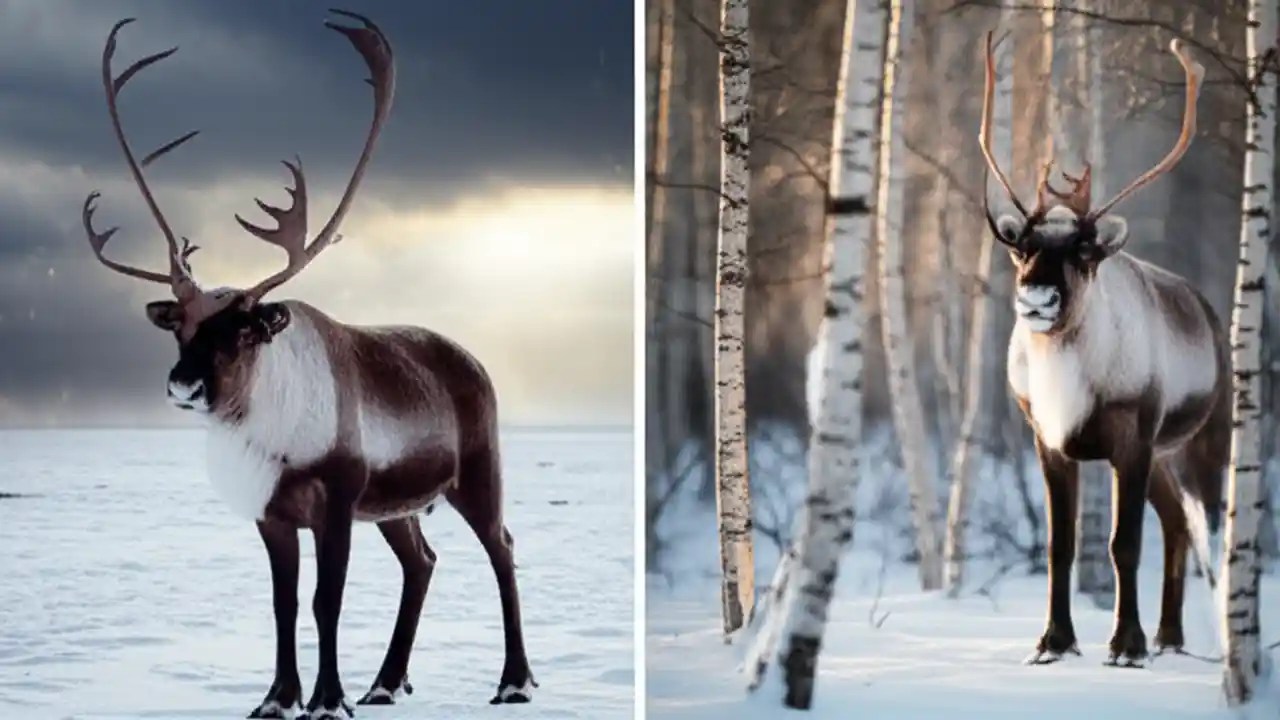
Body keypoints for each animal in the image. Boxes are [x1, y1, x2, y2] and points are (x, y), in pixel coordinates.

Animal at [80, 12, 534, 718]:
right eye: (180, 328)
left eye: (243, 331)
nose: (183, 383)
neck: (272, 442)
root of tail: (475, 361)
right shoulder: (272, 515)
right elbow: (283, 605)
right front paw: (277, 697)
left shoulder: (338, 501)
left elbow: (327, 602)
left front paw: (324, 698)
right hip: (398, 505)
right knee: (422, 561)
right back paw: (385, 683)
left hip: (476, 473)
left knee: (503, 549)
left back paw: (513, 681)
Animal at [977, 33, 1229, 668]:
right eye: (1022, 249)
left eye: (1084, 252)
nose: (1037, 297)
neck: (1070, 387)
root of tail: (1207, 310)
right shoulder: (1048, 441)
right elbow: (1059, 545)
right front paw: (1052, 642)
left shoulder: (1131, 439)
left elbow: (1123, 544)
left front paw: (1125, 644)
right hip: (1163, 456)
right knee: (1176, 523)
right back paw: (1171, 635)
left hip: (1202, 437)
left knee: (1207, 529)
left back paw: (1199, 641)